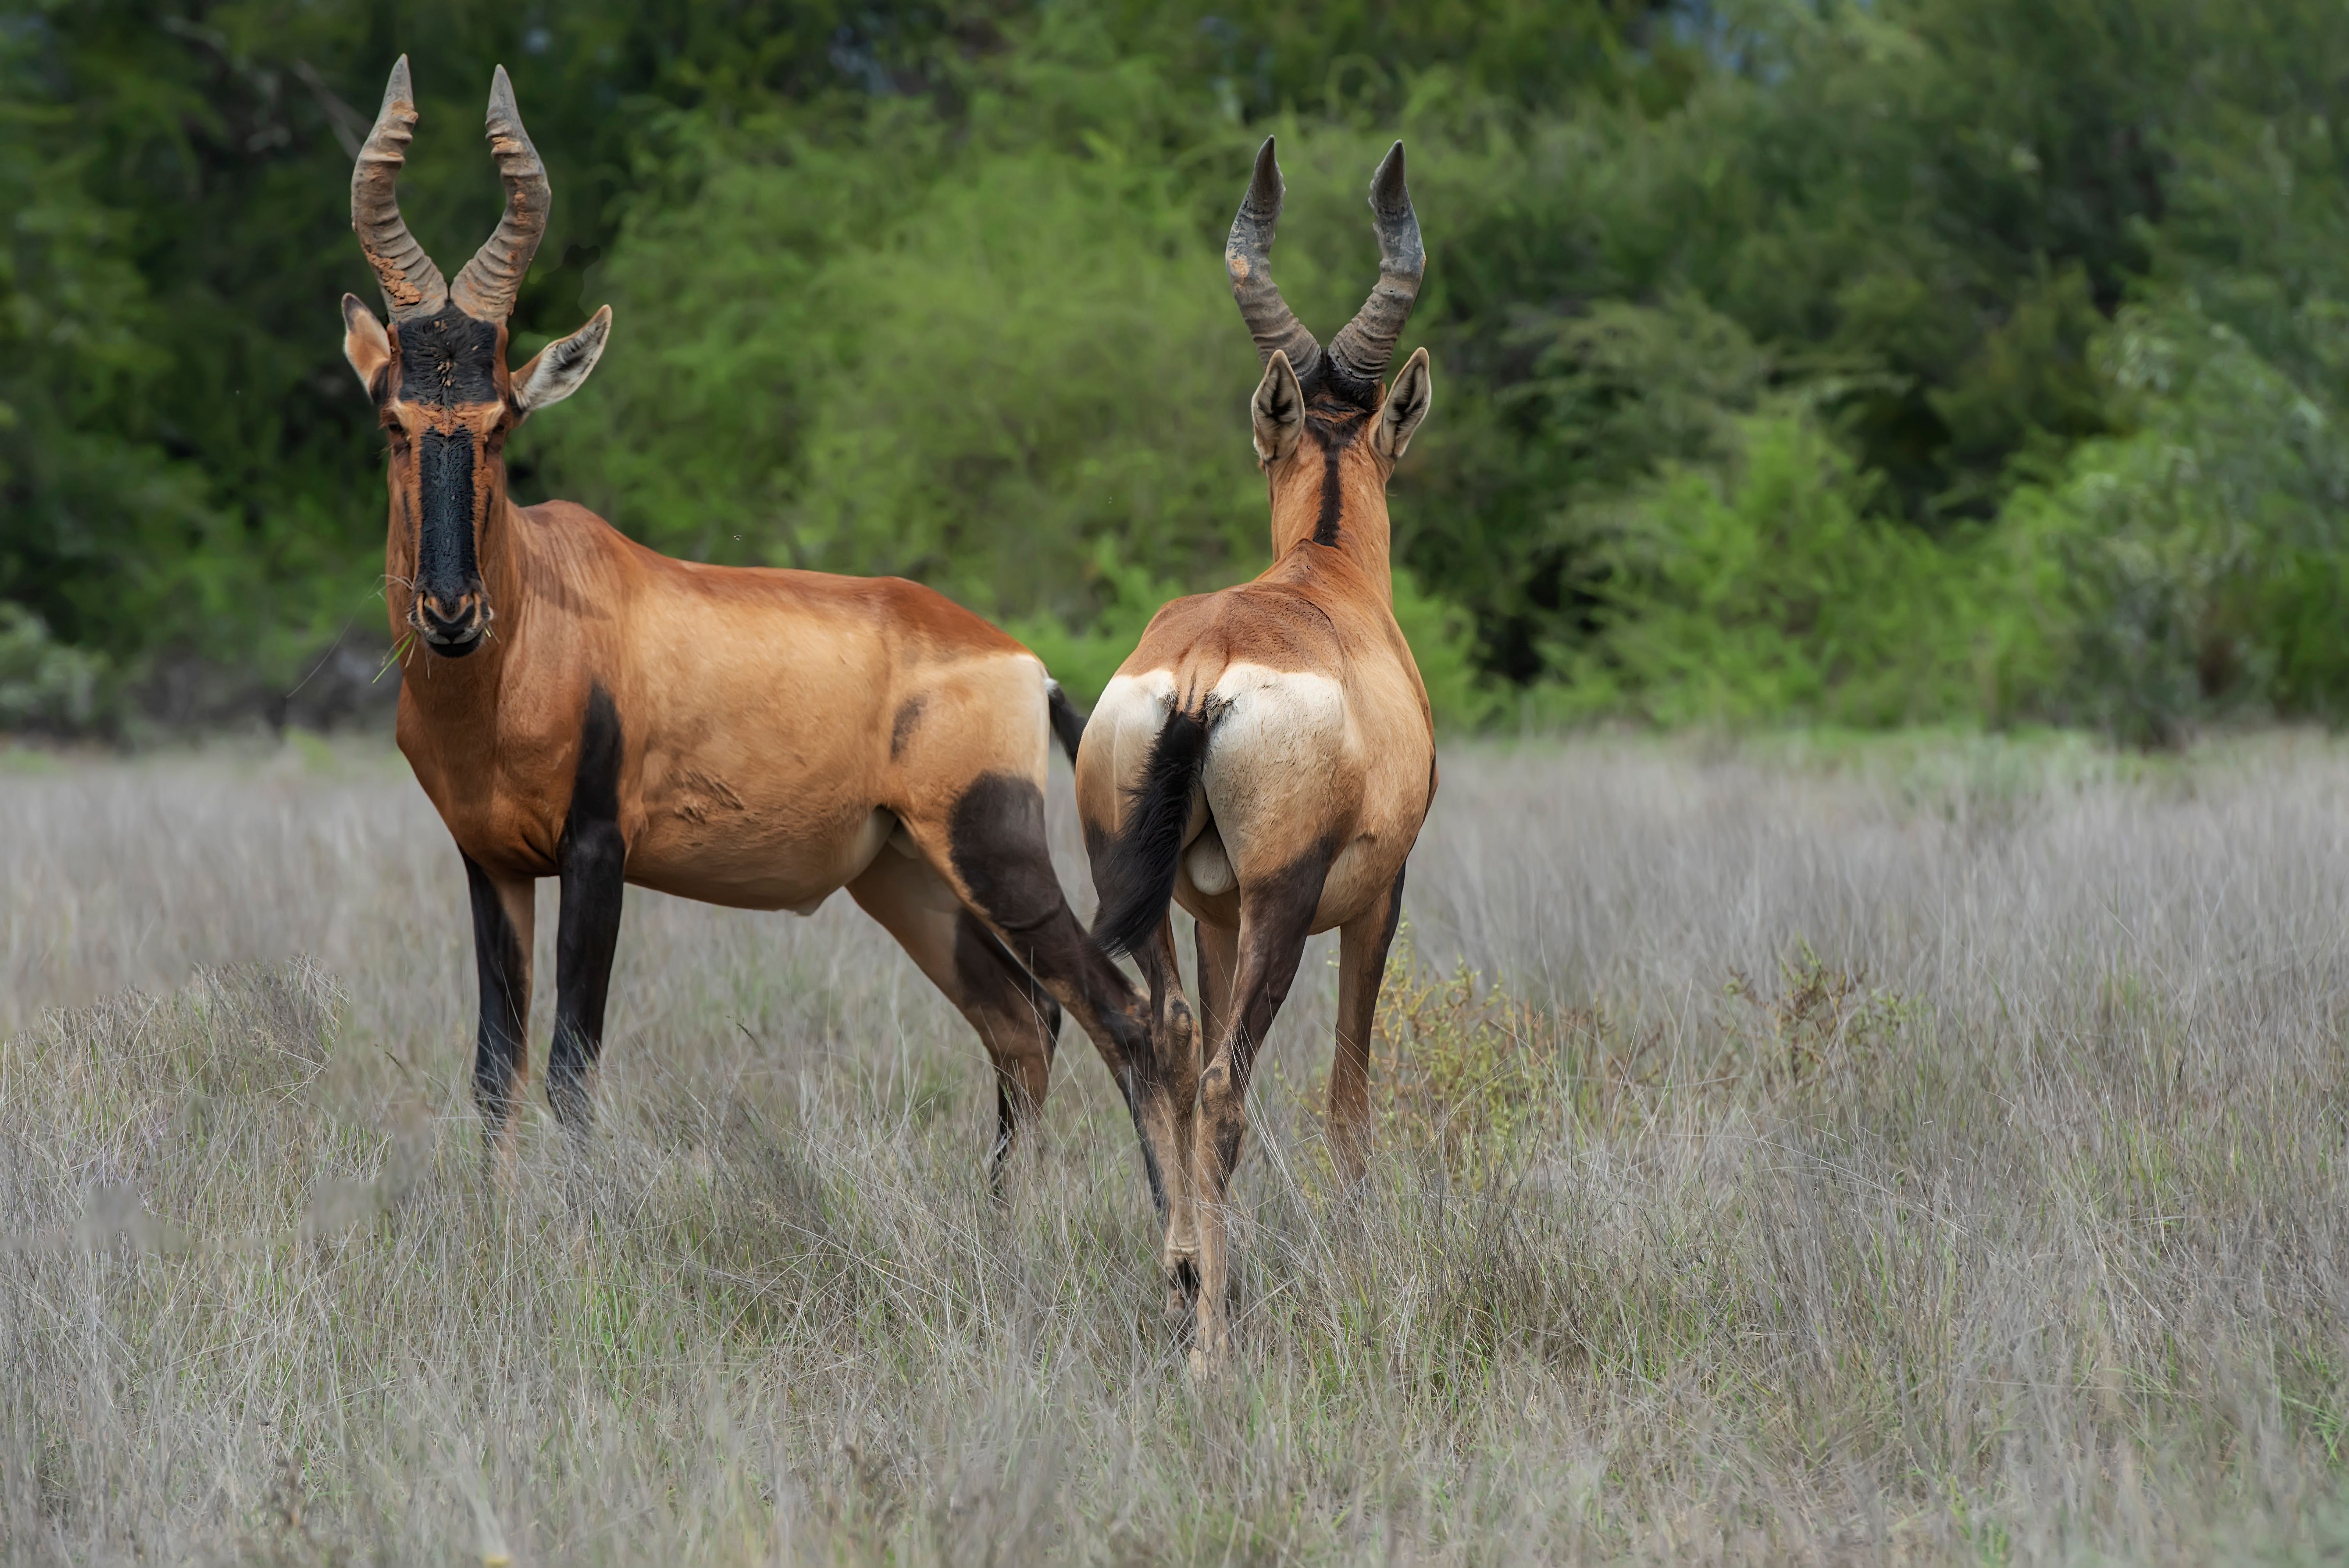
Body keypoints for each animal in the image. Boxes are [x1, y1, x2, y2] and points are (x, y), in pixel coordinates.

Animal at [339, 59, 1166, 1185]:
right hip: (905, 877)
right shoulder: (493, 864)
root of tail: (1023, 666)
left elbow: (571, 1070)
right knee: (1024, 1019)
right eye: (395, 419)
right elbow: (493, 1076)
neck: (536, 623)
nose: (453, 612)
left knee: (1121, 1015)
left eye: (504, 416)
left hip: (993, 850)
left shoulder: (598, 851)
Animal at [1076, 139, 1438, 1360]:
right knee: (1228, 1083)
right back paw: (1212, 1349)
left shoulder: (1210, 907)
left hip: (1143, 889)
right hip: (1285, 900)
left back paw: (1185, 1279)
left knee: (1166, 1048)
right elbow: (1349, 1094)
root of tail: (1200, 669)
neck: (1319, 578)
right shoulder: (1375, 896)